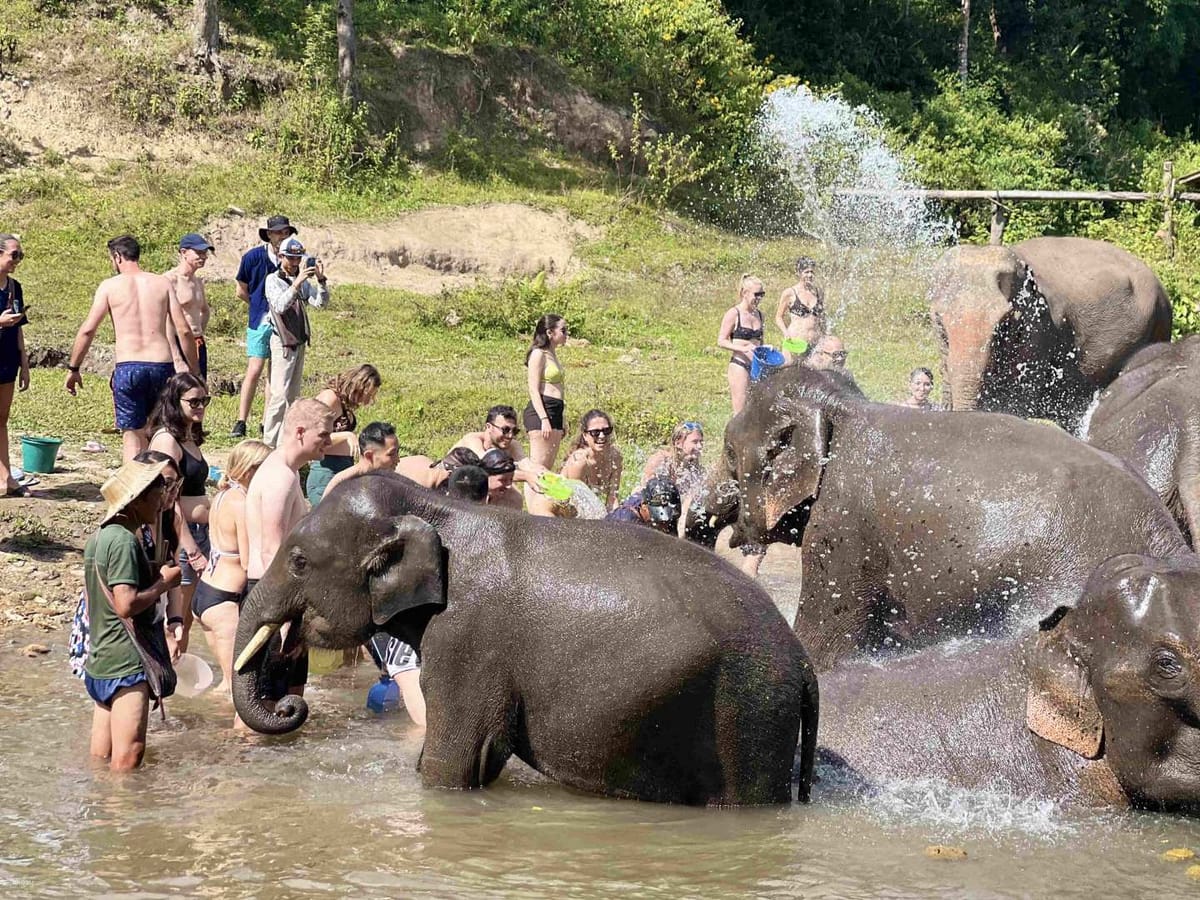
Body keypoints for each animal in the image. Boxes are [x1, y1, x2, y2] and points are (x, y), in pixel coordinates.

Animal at [231, 471, 819, 806]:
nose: (291, 705)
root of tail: (805, 665)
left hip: (748, 714)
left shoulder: (467, 640)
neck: (438, 509)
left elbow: (457, 762)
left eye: (299, 560)